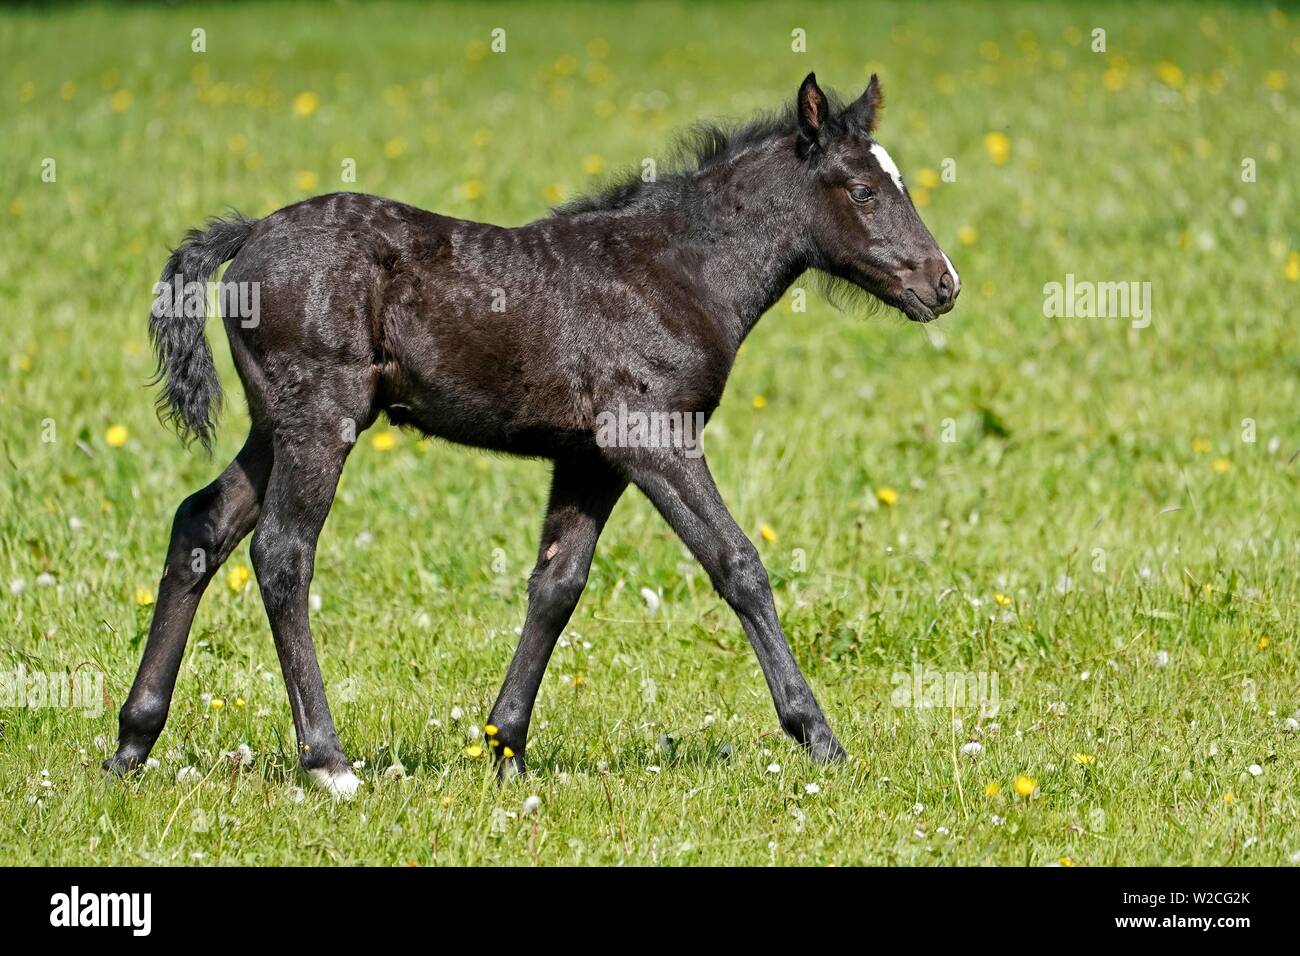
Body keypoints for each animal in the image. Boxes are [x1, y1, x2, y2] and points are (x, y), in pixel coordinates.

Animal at [105, 72, 960, 798]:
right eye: (862, 190)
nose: (942, 284)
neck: (677, 270)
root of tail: (250, 234)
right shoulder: (652, 436)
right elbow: (737, 563)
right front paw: (820, 738)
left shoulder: (590, 459)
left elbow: (556, 586)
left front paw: (504, 748)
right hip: (321, 418)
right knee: (282, 551)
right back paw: (329, 762)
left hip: (274, 425)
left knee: (202, 523)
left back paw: (131, 743)